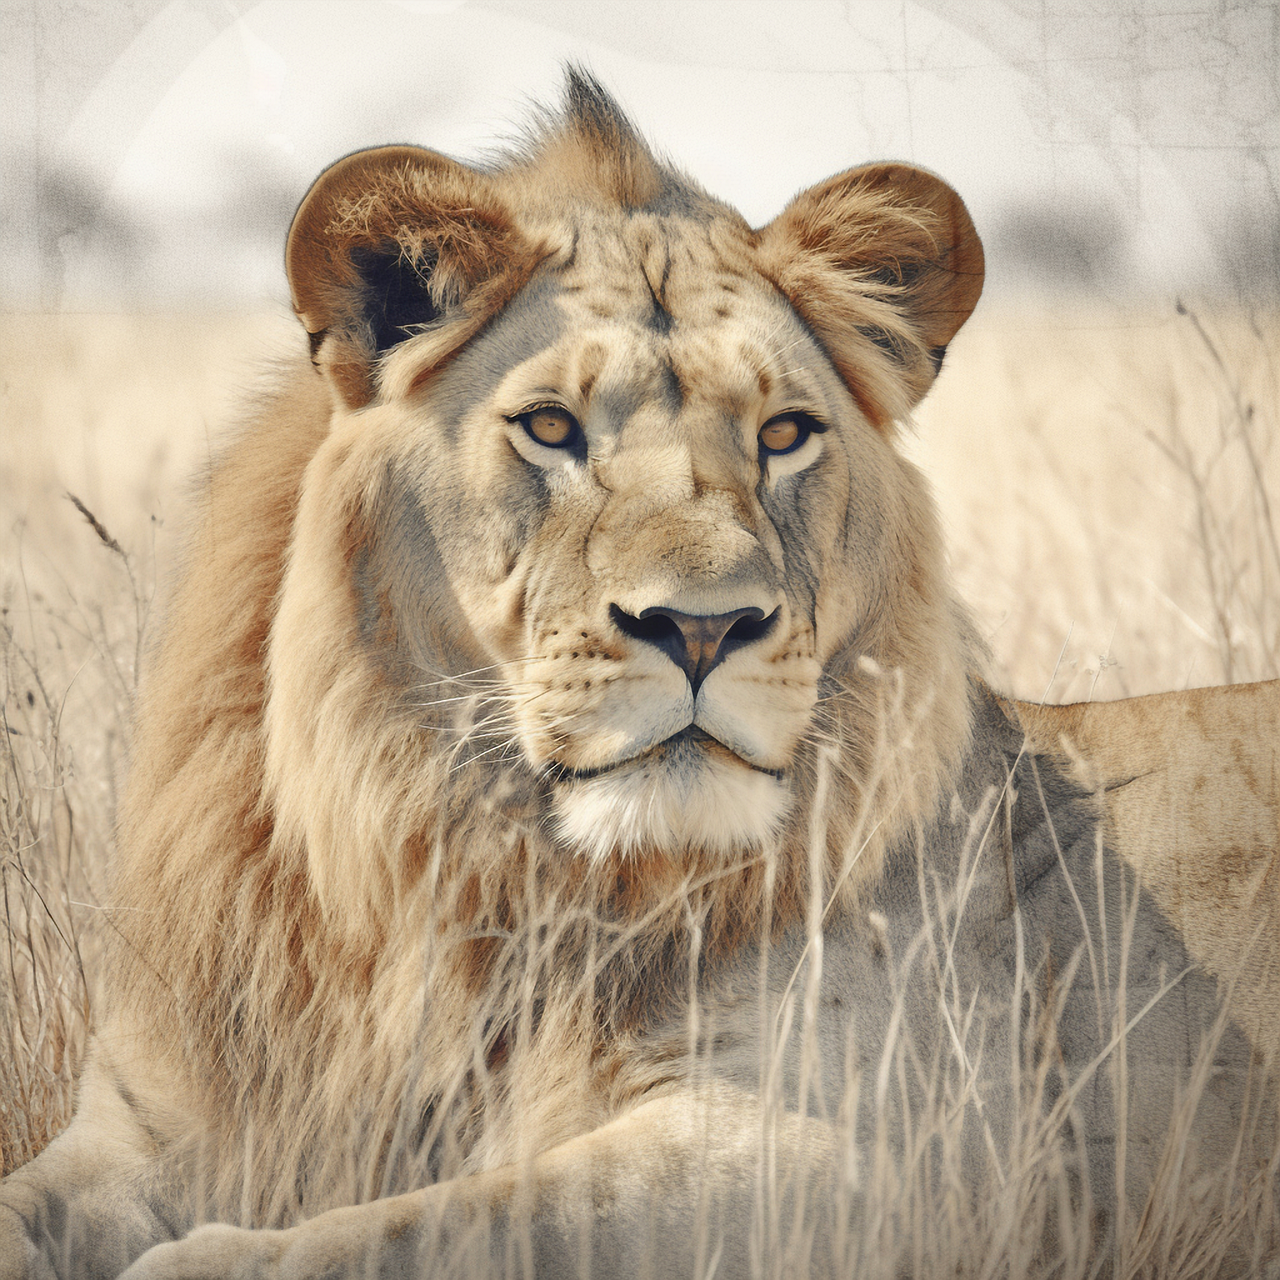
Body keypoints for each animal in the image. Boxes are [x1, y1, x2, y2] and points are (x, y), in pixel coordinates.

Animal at [2, 70, 1277, 1279]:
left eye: (782, 434)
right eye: (550, 427)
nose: (704, 629)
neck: (452, 872)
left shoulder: (885, 1163)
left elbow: (452, 1223)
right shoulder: (145, 1122)